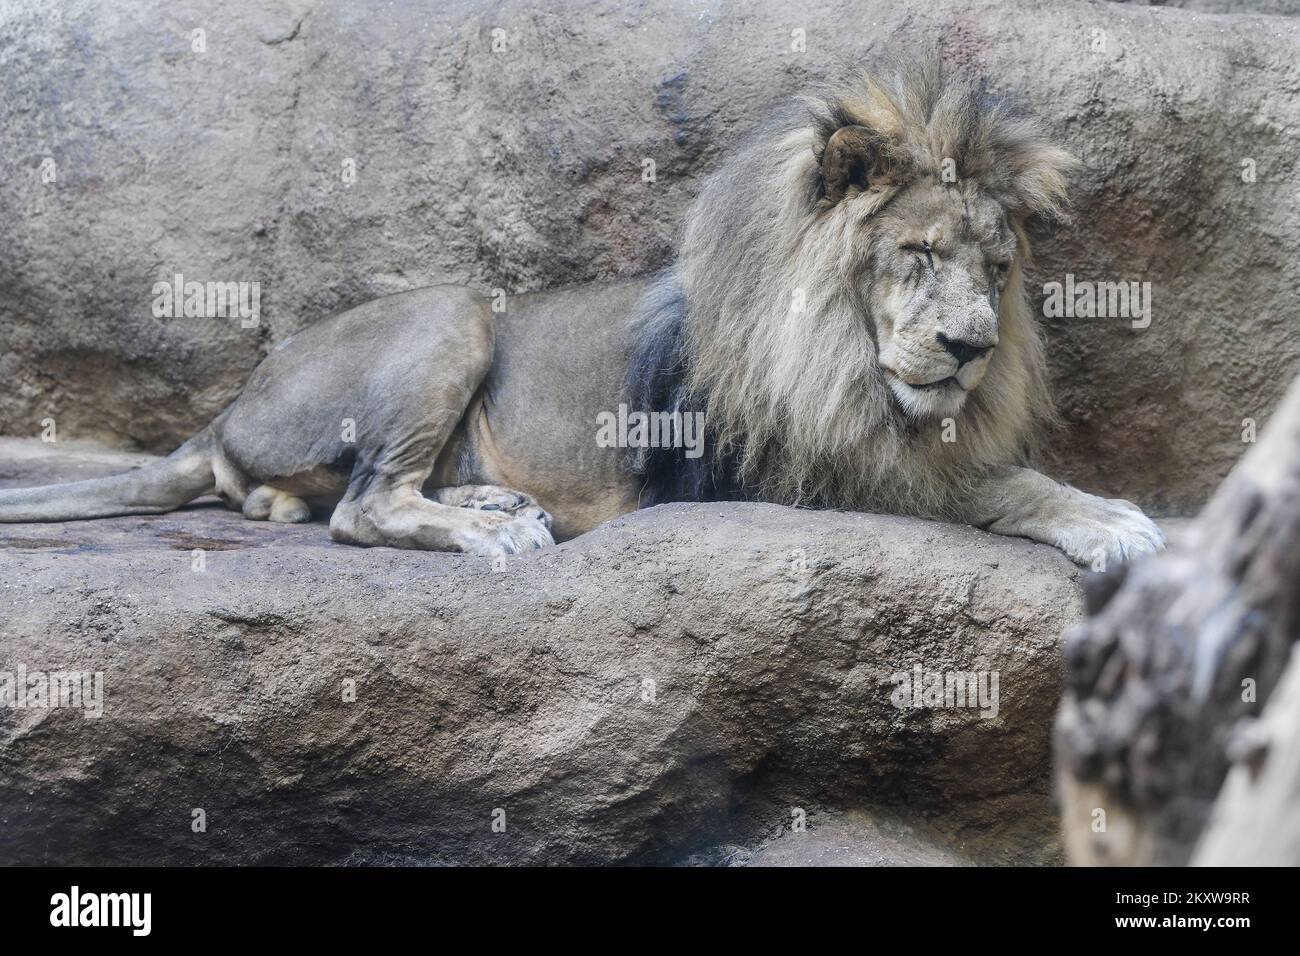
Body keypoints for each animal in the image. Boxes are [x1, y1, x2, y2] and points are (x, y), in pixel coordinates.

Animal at [0, 61, 1163, 565]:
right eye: (918, 254)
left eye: (997, 269)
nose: (970, 347)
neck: (834, 350)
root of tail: (225, 410)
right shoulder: (799, 468)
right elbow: (988, 483)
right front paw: (1110, 518)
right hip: (456, 313)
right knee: (363, 507)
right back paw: (493, 530)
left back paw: (489, 501)